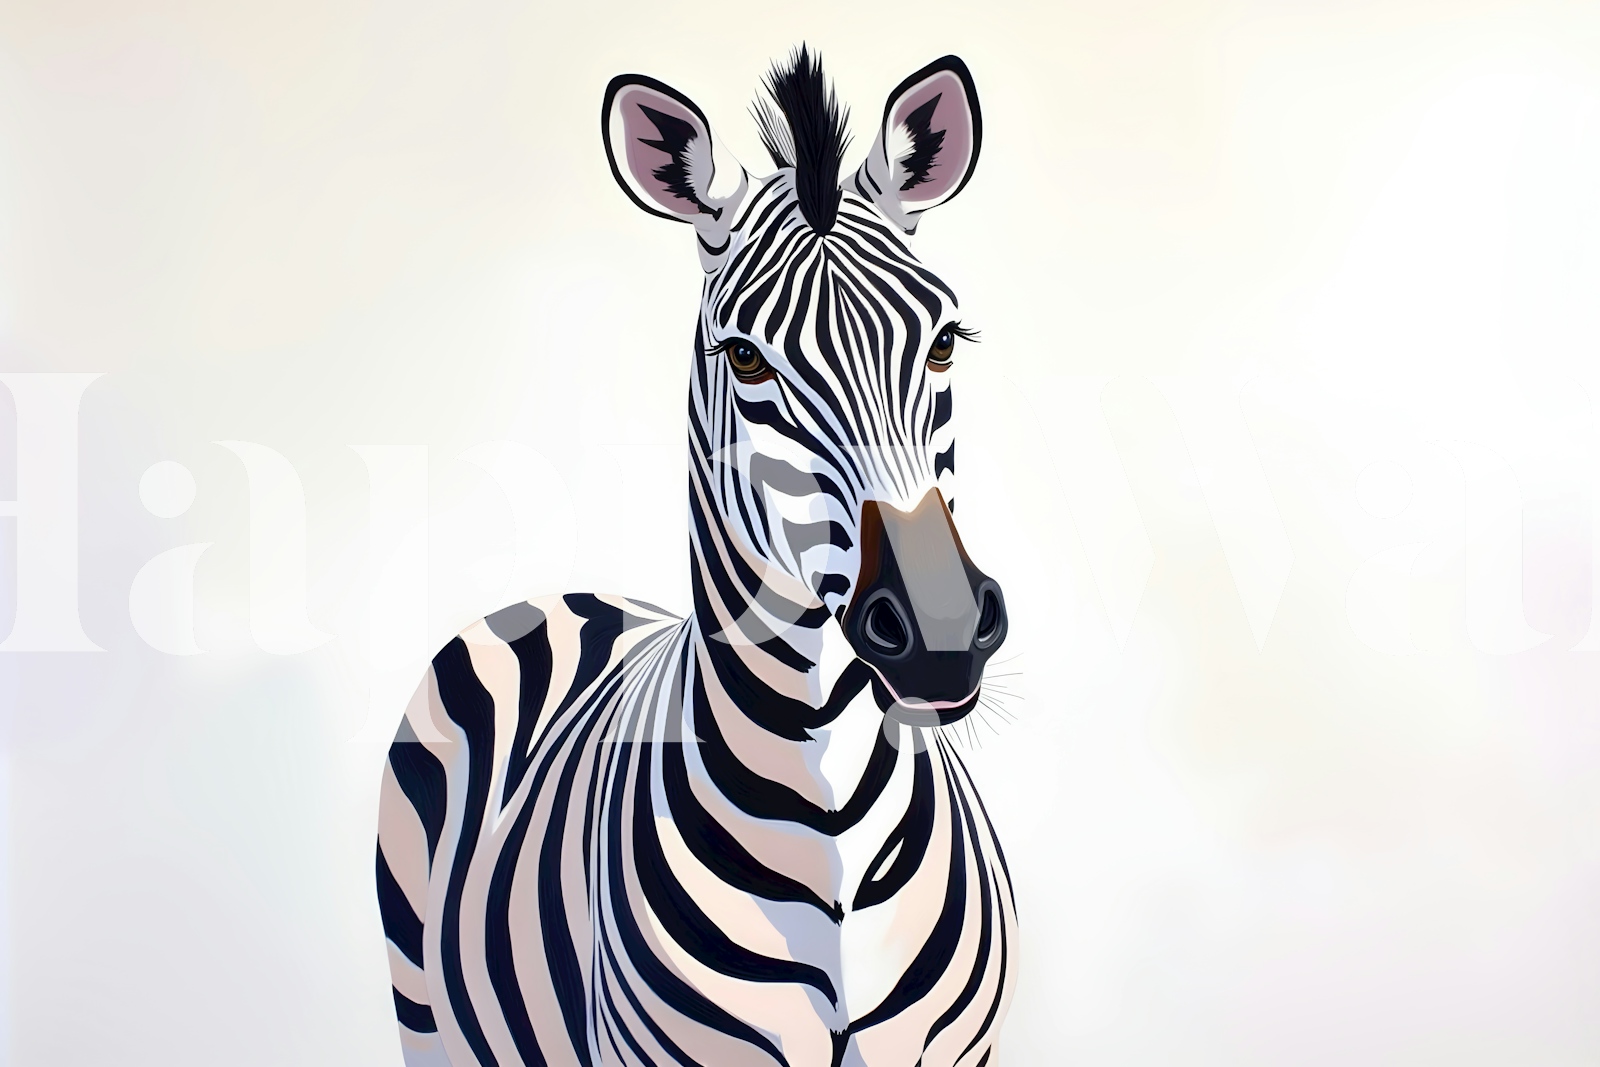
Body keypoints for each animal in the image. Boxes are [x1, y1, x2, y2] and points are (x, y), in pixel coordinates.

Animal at [377, 48, 1017, 1067]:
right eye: (746, 359)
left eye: (947, 341)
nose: (943, 633)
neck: (833, 814)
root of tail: (556, 598)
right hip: (428, 1019)